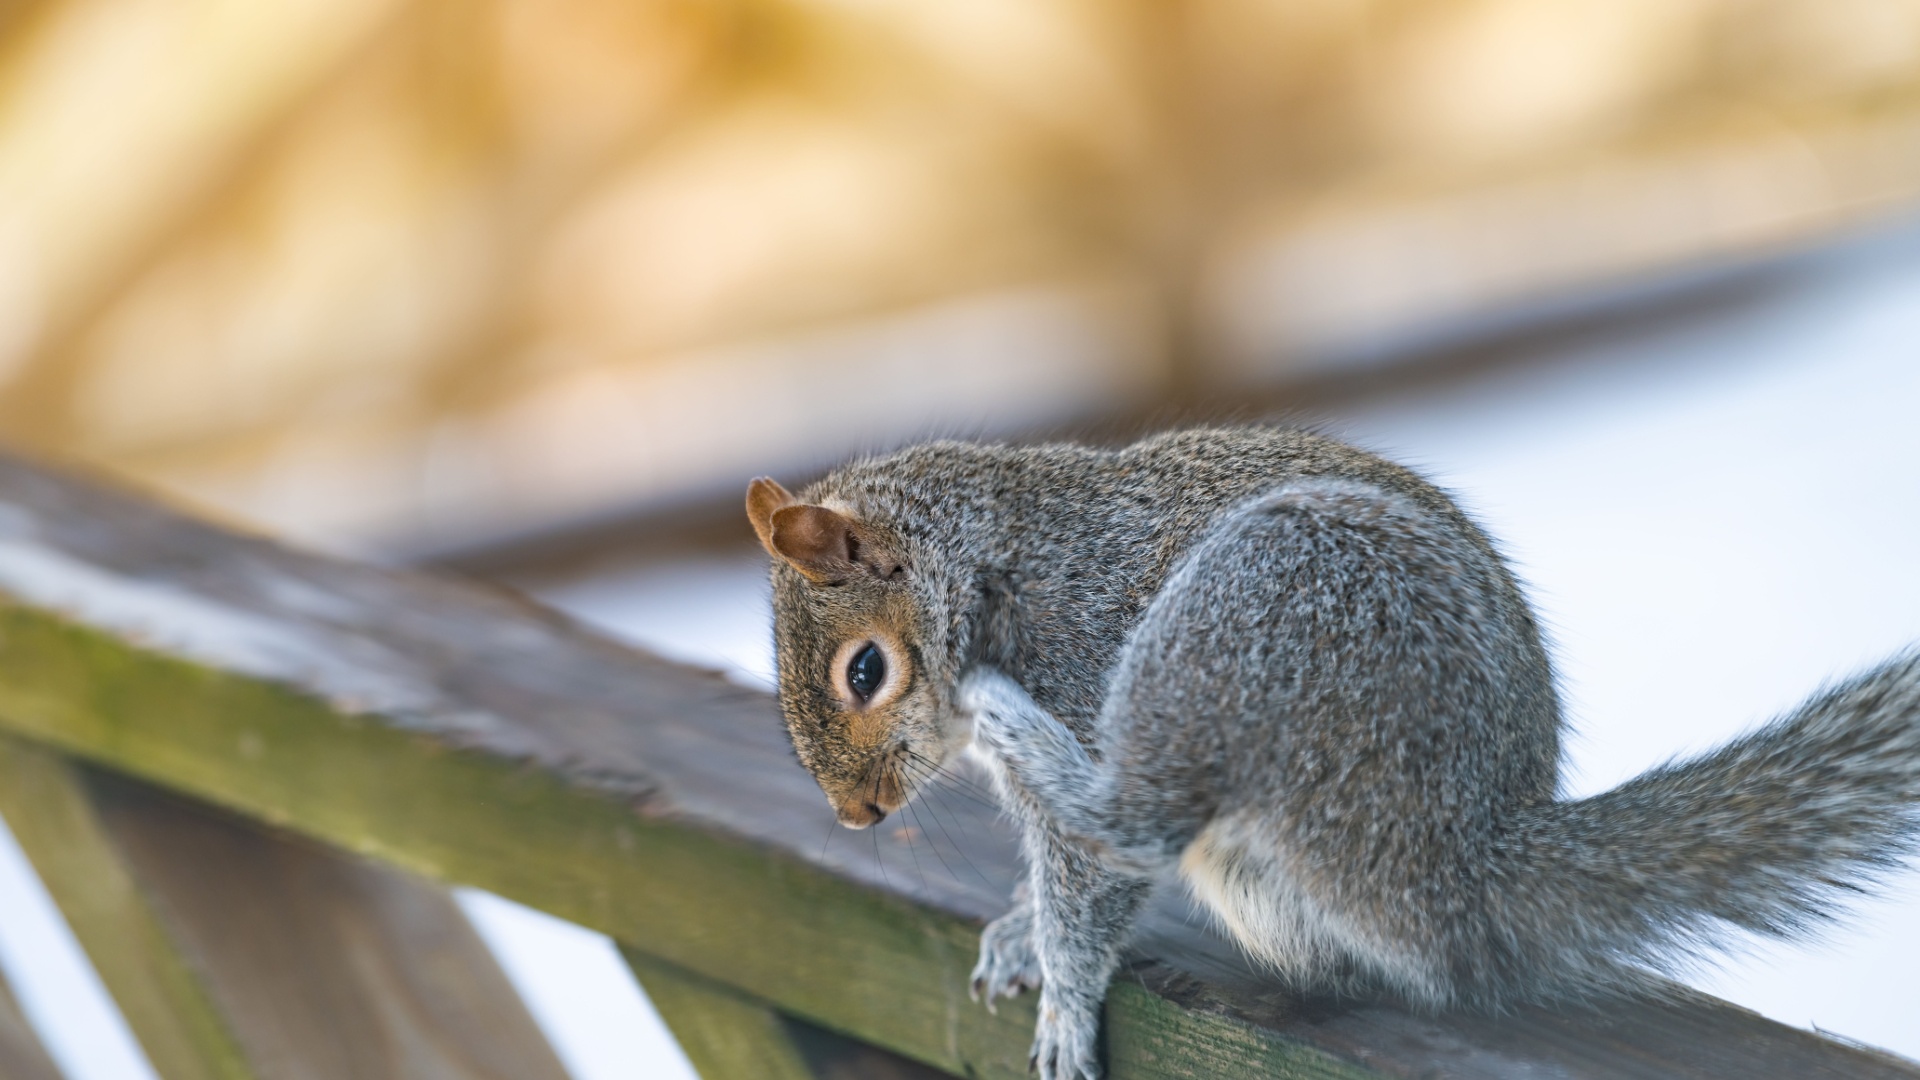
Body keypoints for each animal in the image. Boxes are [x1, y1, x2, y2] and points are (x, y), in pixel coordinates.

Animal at [745, 425, 1920, 1080]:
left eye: (863, 672)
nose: (854, 817)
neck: (992, 569)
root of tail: (1465, 858)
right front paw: (1016, 933)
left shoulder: (1077, 671)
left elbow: (1096, 873)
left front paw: (1064, 1005)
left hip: (1280, 606)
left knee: (1145, 816)